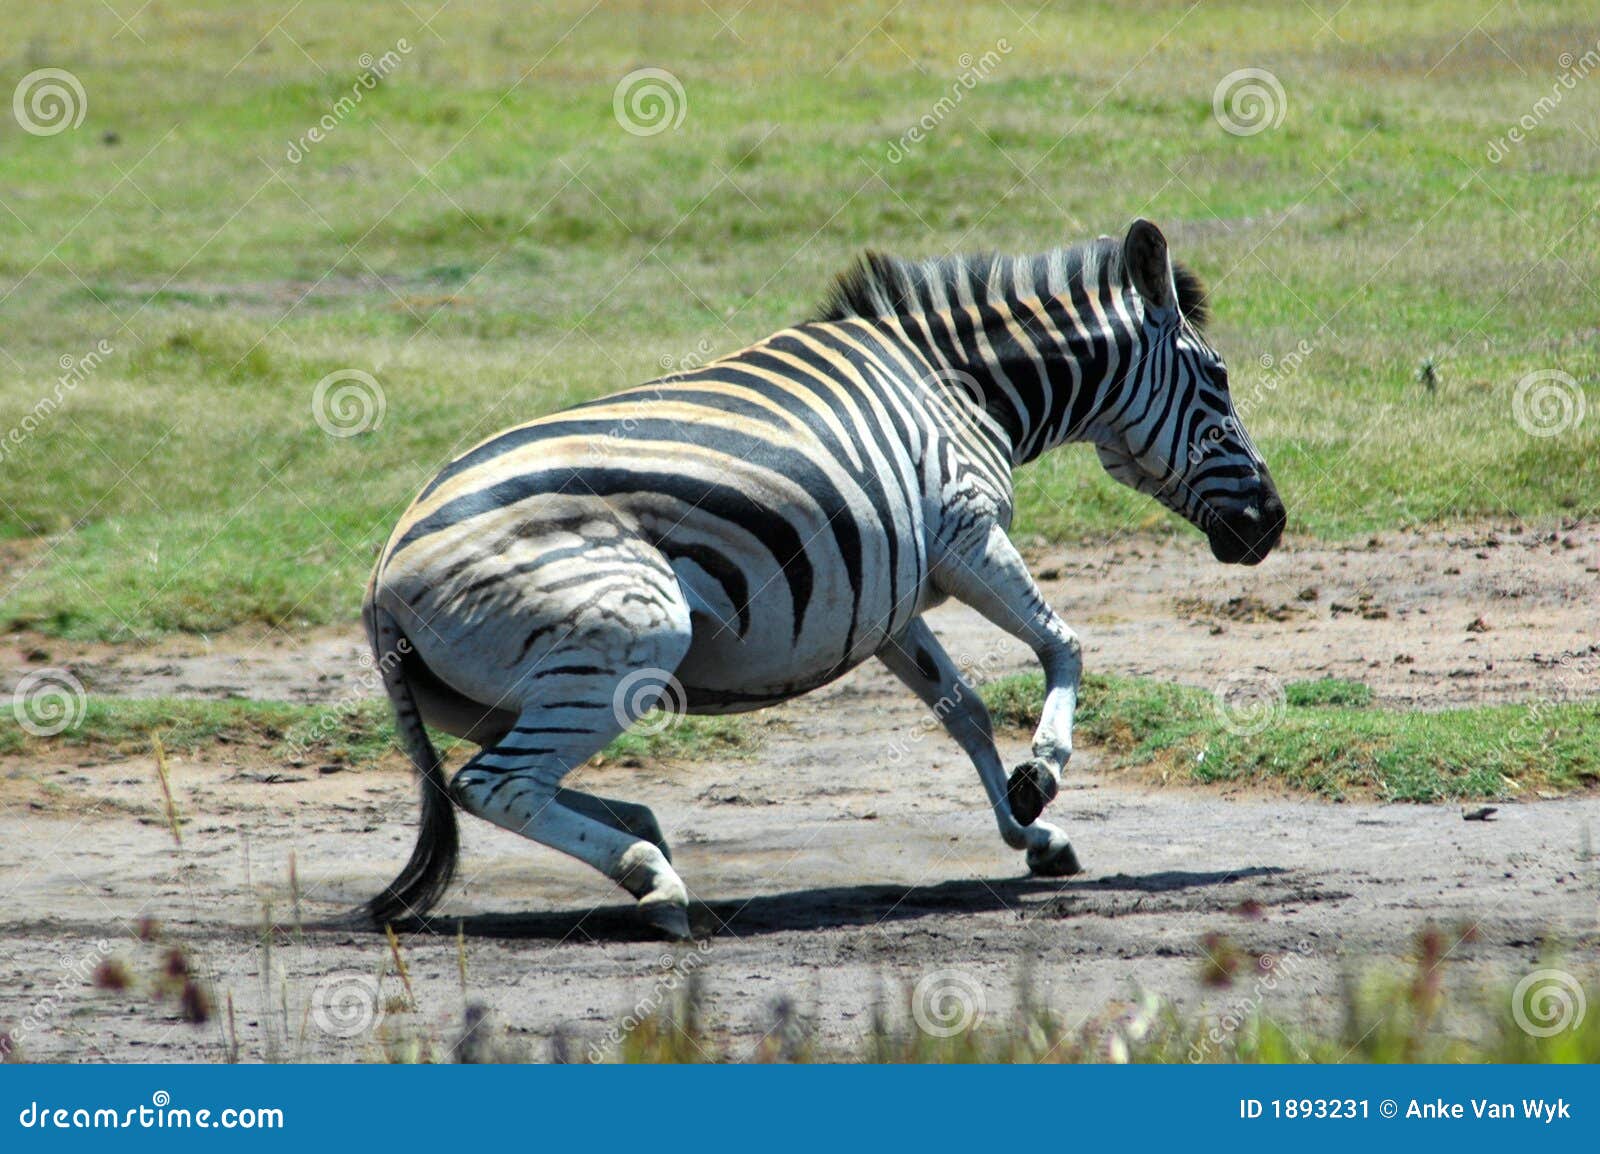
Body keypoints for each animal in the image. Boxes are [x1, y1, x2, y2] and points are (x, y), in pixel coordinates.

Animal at [362, 218, 1285, 939]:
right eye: (1219, 379)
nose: (1272, 524)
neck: (961, 387)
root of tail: (380, 578)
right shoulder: (966, 534)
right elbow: (1065, 647)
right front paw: (1042, 776)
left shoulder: (889, 596)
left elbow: (965, 712)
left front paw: (1032, 835)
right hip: (632, 633)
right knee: (495, 784)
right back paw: (653, 880)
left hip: (495, 694)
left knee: (501, 779)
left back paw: (638, 836)